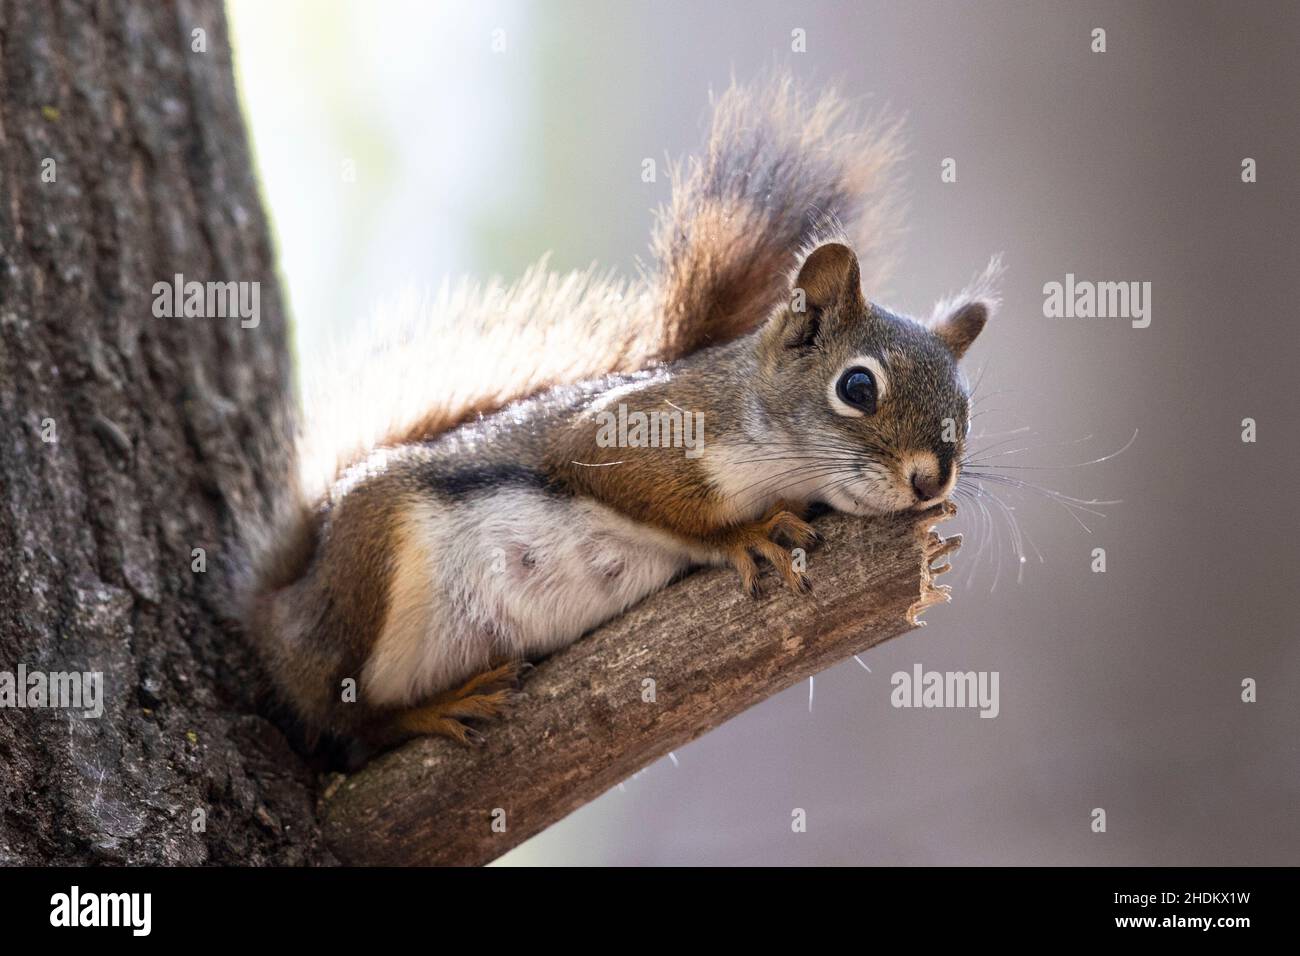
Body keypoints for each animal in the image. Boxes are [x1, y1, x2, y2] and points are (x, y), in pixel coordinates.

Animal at [228, 75, 999, 756]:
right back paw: (433, 708)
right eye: (858, 387)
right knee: (347, 715)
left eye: (966, 409)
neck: (774, 443)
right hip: (371, 574)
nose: (933, 481)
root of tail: (279, 609)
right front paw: (744, 532)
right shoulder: (631, 427)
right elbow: (637, 487)